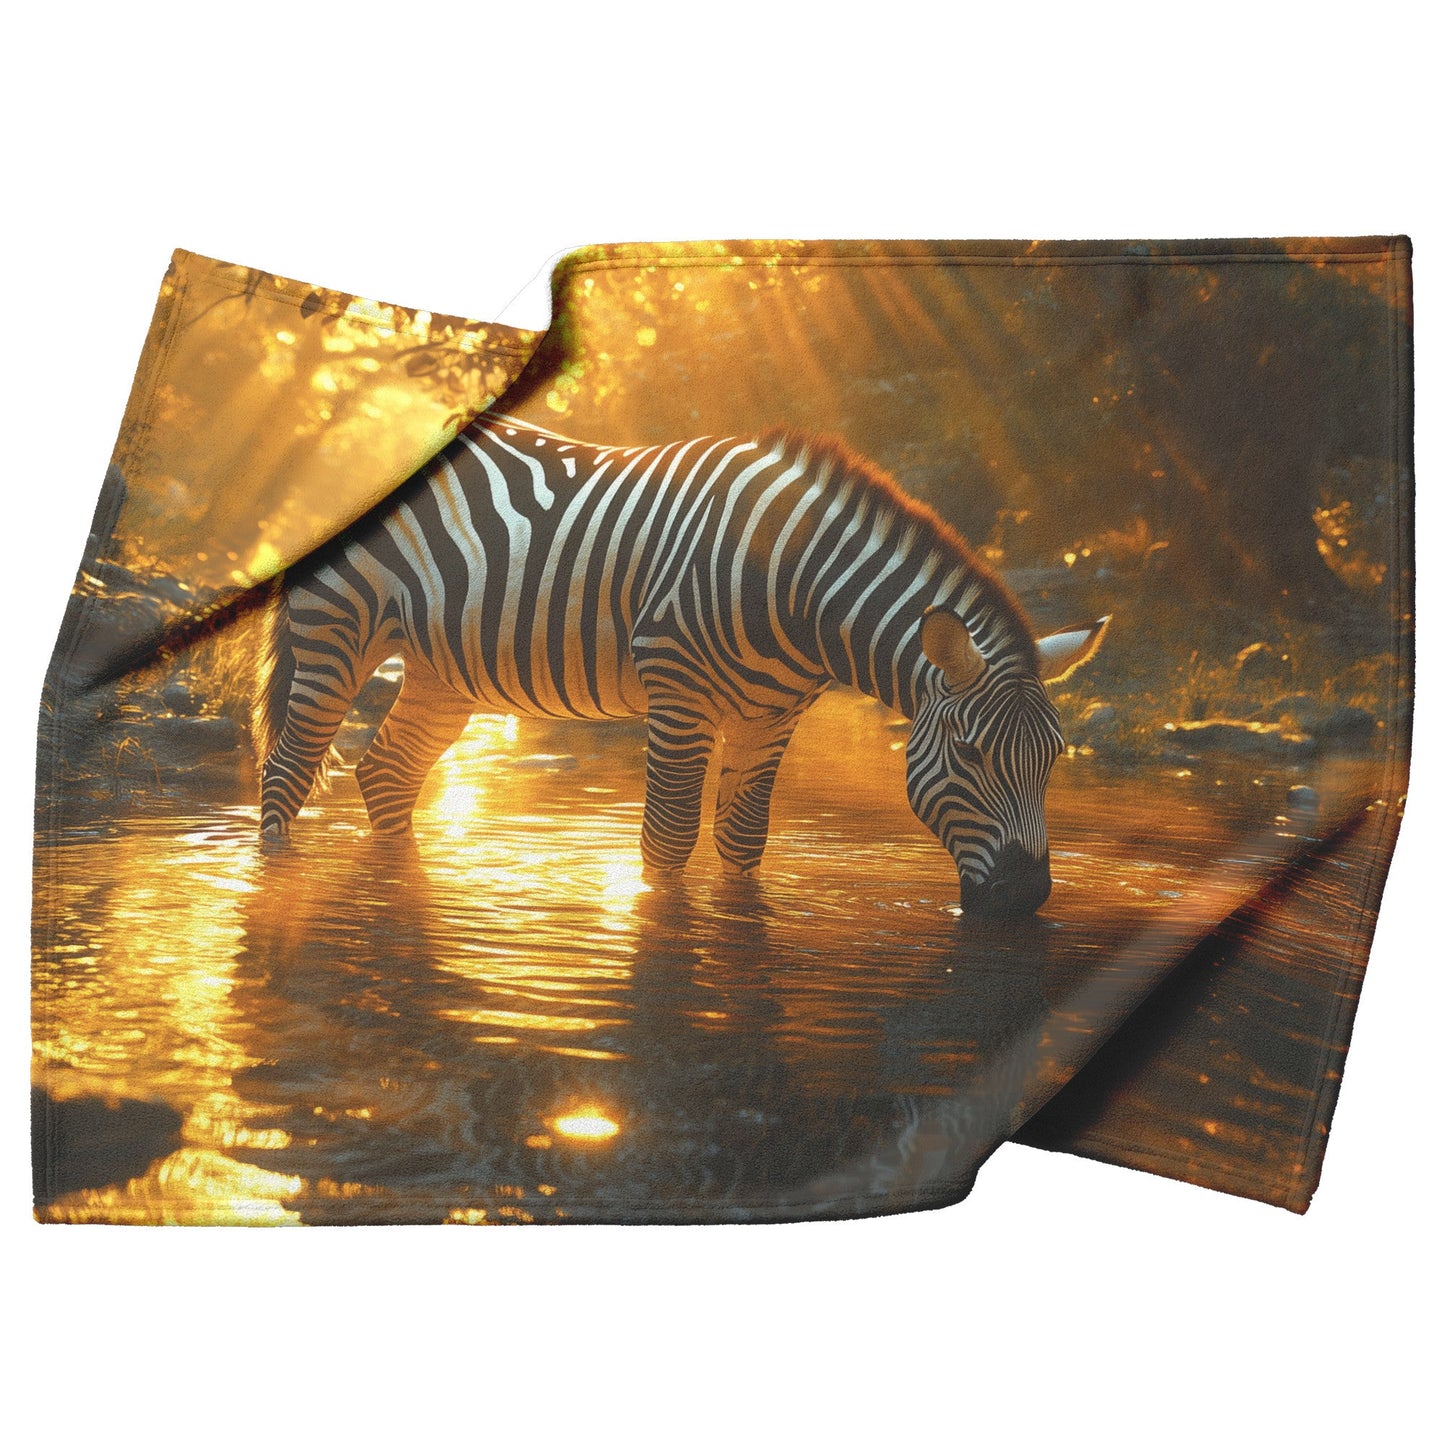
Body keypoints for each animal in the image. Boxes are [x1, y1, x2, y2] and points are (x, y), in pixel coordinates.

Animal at [252, 416, 1108, 916]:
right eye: (970, 753)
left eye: (1053, 758)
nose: (1026, 899)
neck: (796, 582)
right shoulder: (676, 692)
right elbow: (665, 840)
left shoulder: (772, 714)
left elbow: (743, 840)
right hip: (338, 627)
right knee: (289, 771)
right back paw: (273, 883)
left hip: (442, 666)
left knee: (385, 773)